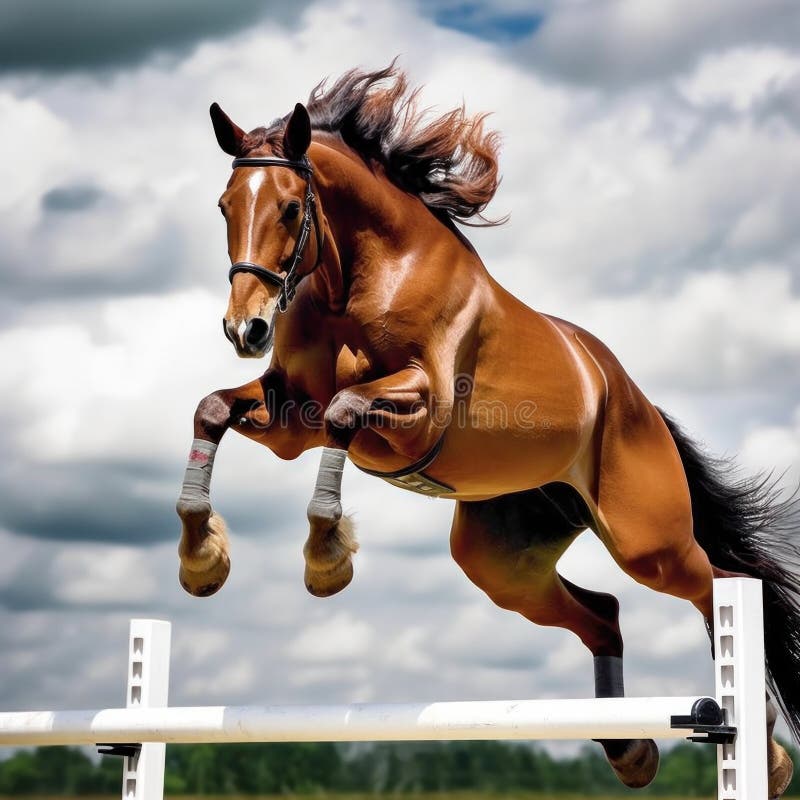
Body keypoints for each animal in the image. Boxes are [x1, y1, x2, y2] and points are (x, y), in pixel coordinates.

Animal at [175, 65, 800, 794]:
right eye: (225, 207)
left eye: (290, 210)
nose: (244, 330)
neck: (359, 276)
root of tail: (636, 400)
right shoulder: (287, 419)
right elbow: (213, 410)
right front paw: (202, 559)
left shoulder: (417, 412)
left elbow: (344, 411)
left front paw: (326, 558)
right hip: (503, 559)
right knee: (603, 614)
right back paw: (629, 750)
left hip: (651, 542)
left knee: (718, 585)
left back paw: (766, 749)